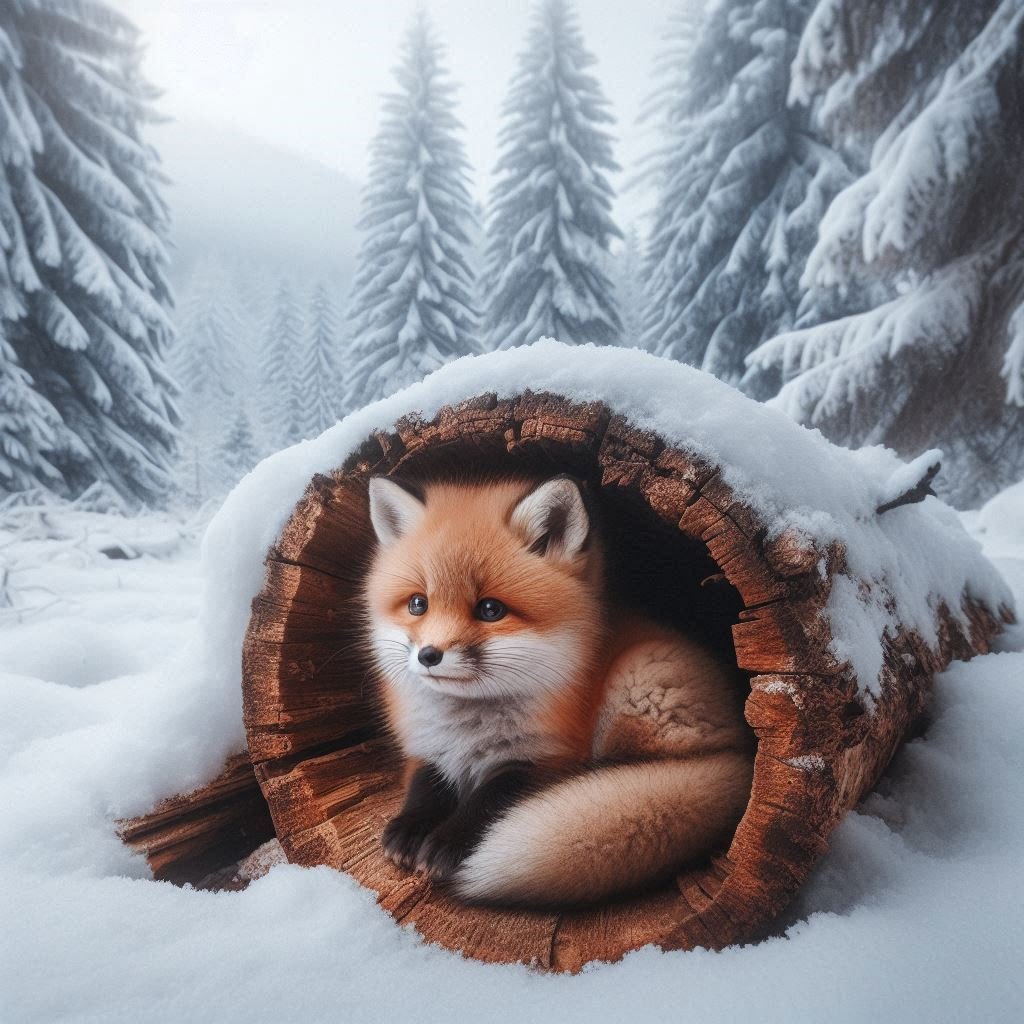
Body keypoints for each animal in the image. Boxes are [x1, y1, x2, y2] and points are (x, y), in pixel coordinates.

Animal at [362, 472, 754, 906]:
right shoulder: (426, 746)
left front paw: (449, 841)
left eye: (490, 610)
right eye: (418, 604)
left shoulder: (545, 758)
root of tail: (743, 752)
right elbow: (425, 785)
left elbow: (491, 800)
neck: (467, 729)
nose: (429, 655)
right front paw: (410, 827)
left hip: (636, 676)